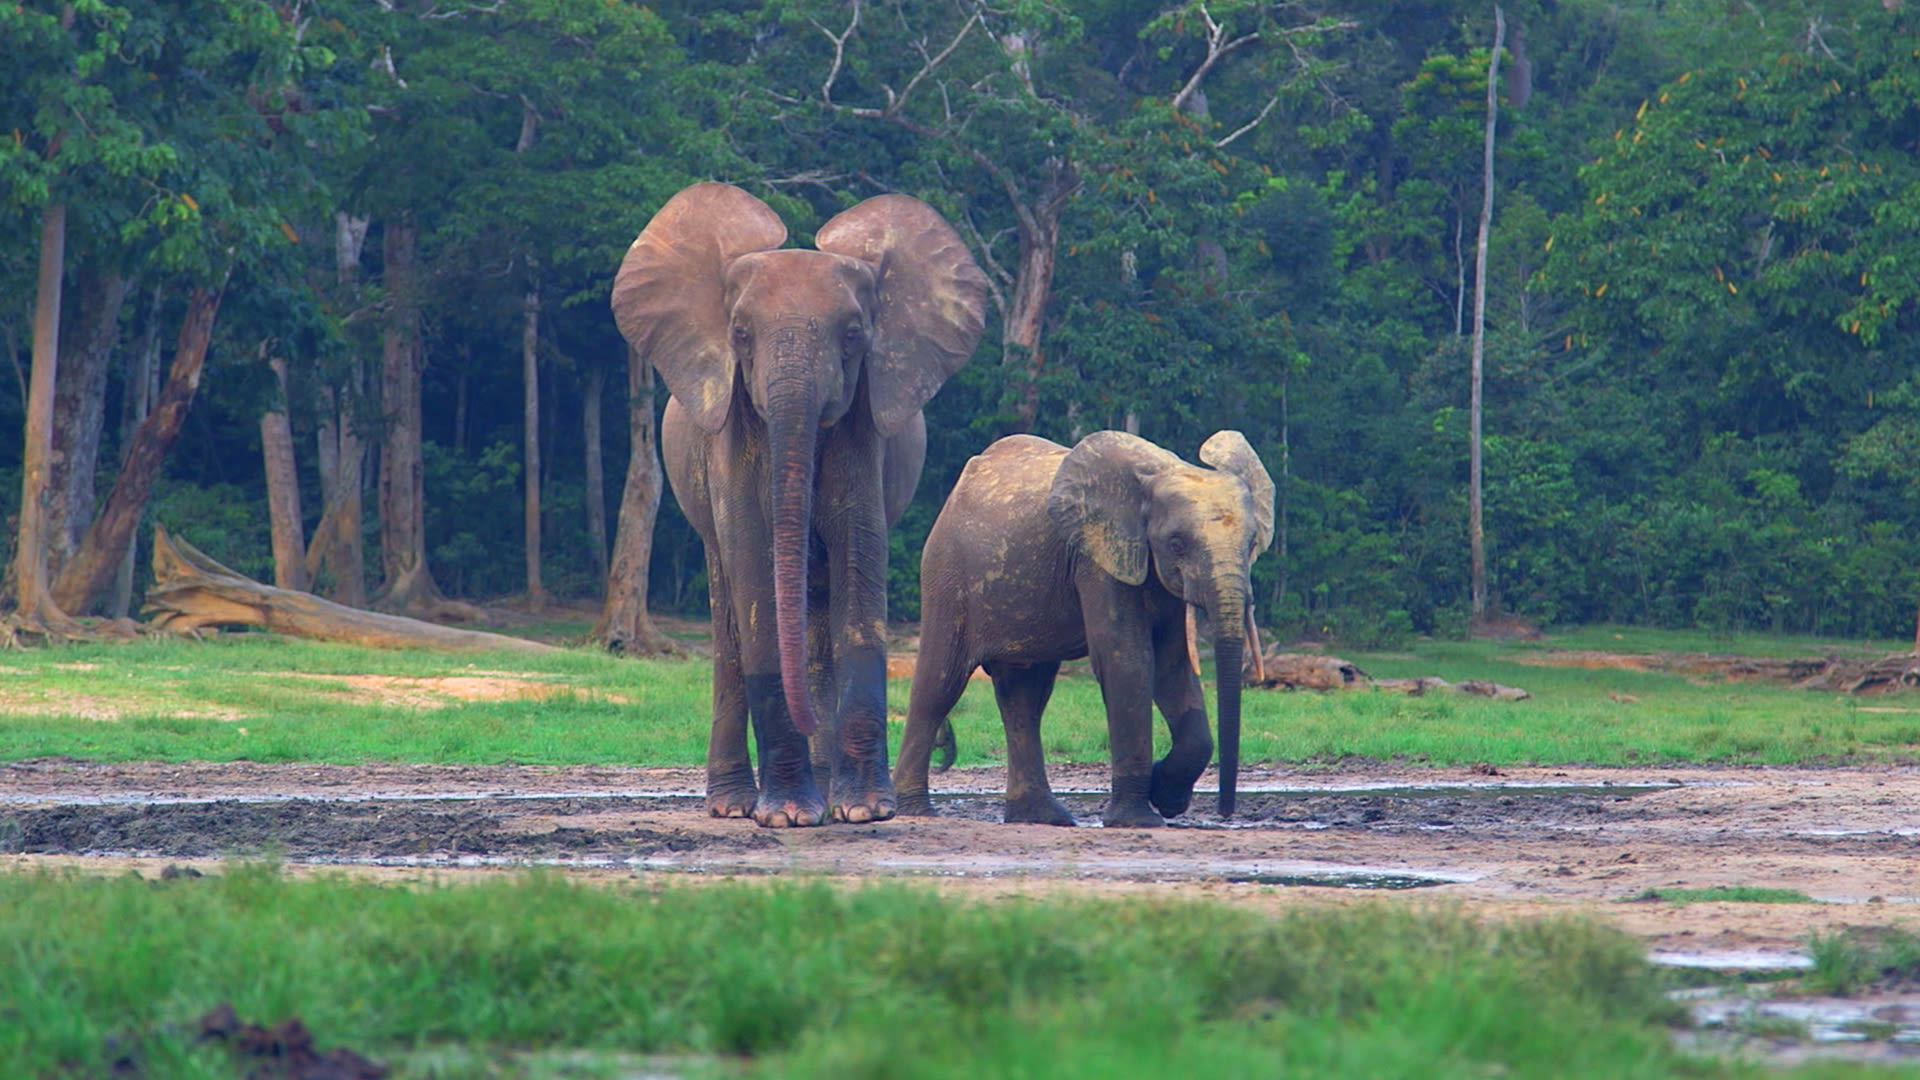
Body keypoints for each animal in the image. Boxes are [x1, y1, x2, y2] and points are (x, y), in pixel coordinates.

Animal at [612, 183, 988, 828]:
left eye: (854, 334)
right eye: (740, 333)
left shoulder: (865, 430)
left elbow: (858, 566)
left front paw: (863, 811)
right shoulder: (732, 433)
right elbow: (755, 575)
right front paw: (787, 816)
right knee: (728, 625)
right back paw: (735, 804)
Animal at [892, 430, 1275, 827]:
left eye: (1252, 544)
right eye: (1177, 544)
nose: (1226, 812)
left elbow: (1172, 666)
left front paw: (1166, 797)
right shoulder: (1098, 556)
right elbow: (1129, 661)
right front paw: (1138, 819)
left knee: (1025, 697)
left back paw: (1042, 817)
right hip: (947, 571)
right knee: (940, 684)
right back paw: (917, 811)